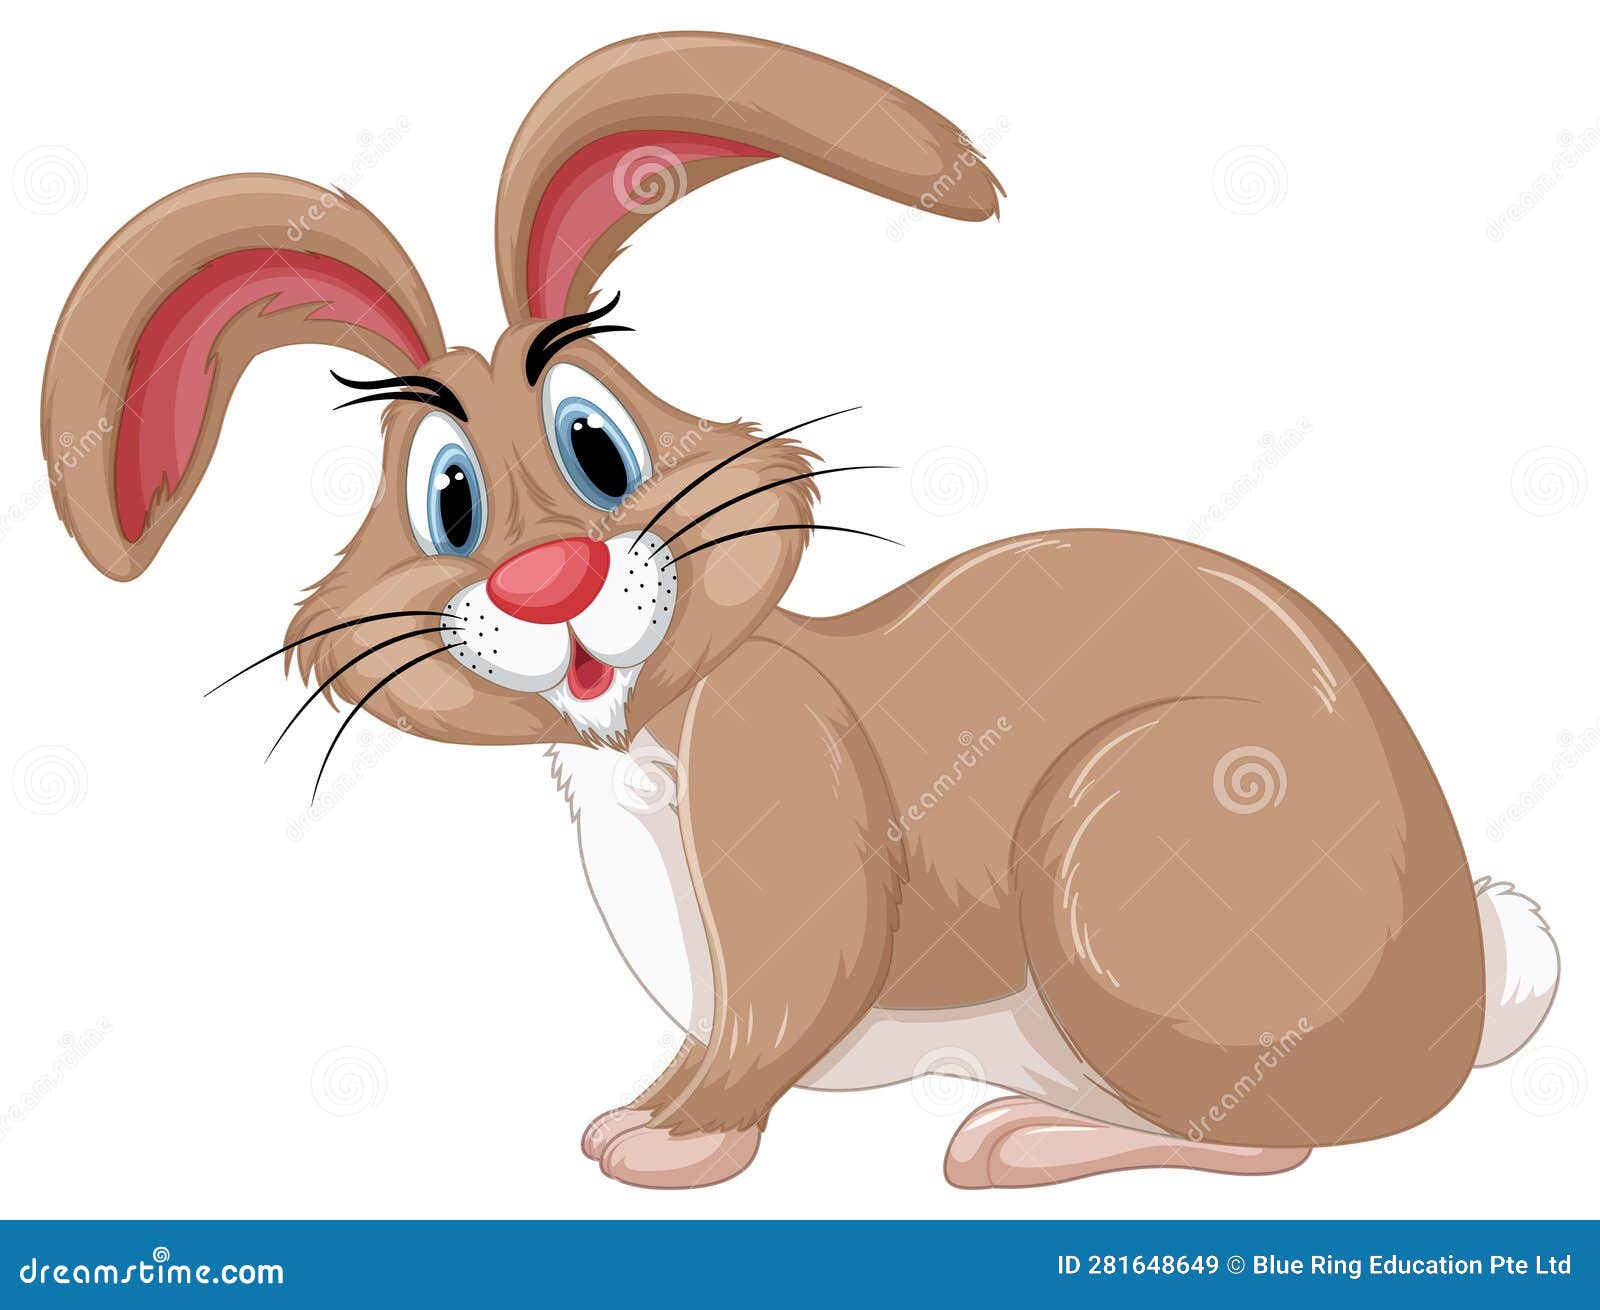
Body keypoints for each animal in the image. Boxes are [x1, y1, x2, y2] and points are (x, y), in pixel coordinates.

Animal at [41, 30, 1559, 1190]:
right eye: (448, 501)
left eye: (599, 443)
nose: (550, 580)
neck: (640, 736)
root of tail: (1457, 1008)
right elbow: (700, 1047)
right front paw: (628, 1116)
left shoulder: (785, 827)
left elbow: (772, 1021)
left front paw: (671, 1151)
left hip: (1131, 852)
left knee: (1270, 1144)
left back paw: (1020, 1142)